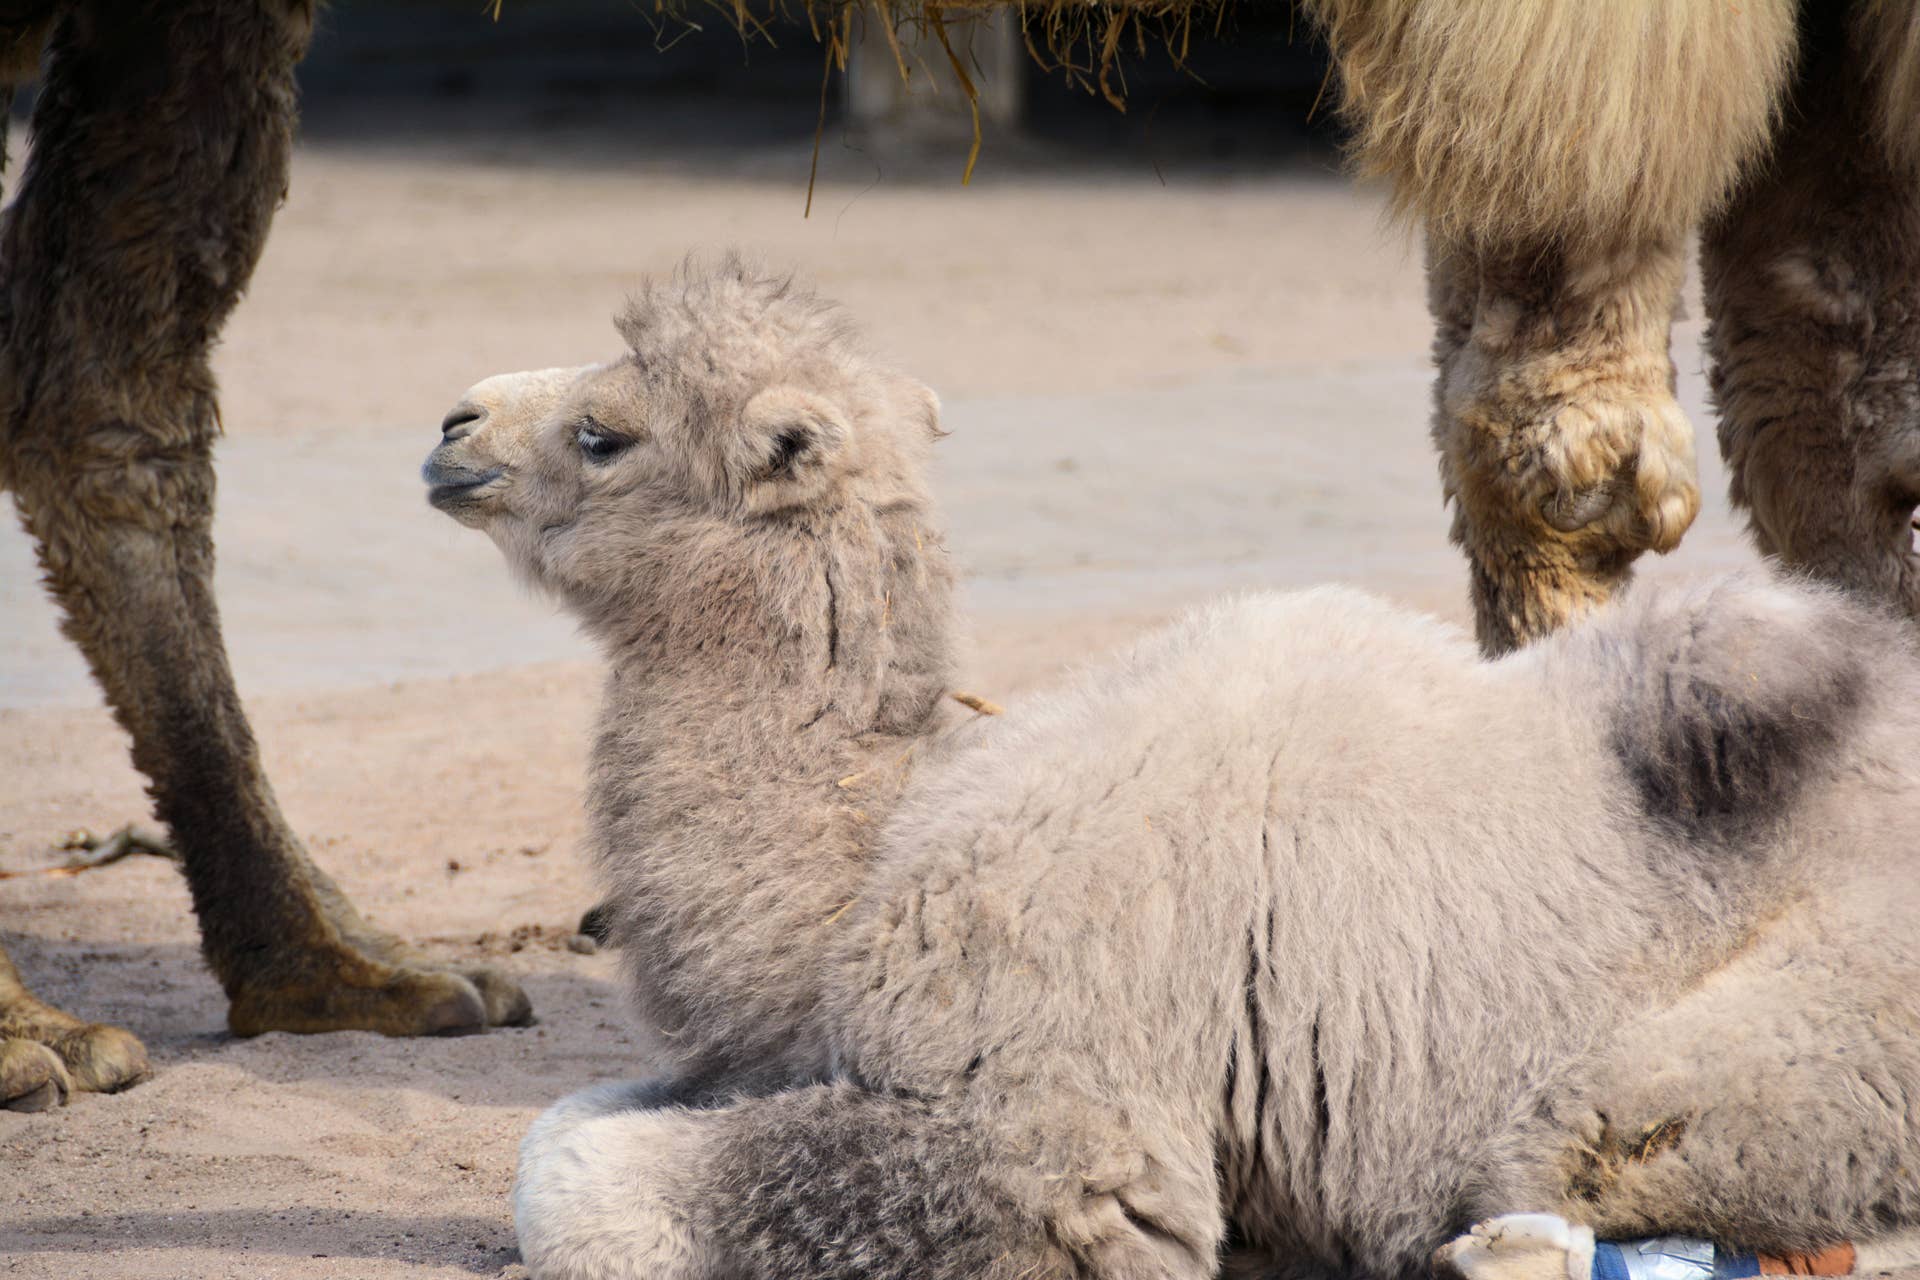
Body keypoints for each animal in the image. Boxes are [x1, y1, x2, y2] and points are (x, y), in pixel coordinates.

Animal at [432, 261, 1920, 1280]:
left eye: (606, 432)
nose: (452, 429)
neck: (876, 859)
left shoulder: (1052, 1123)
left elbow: (578, 1175)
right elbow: (566, 1122)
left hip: (1775, 1044)